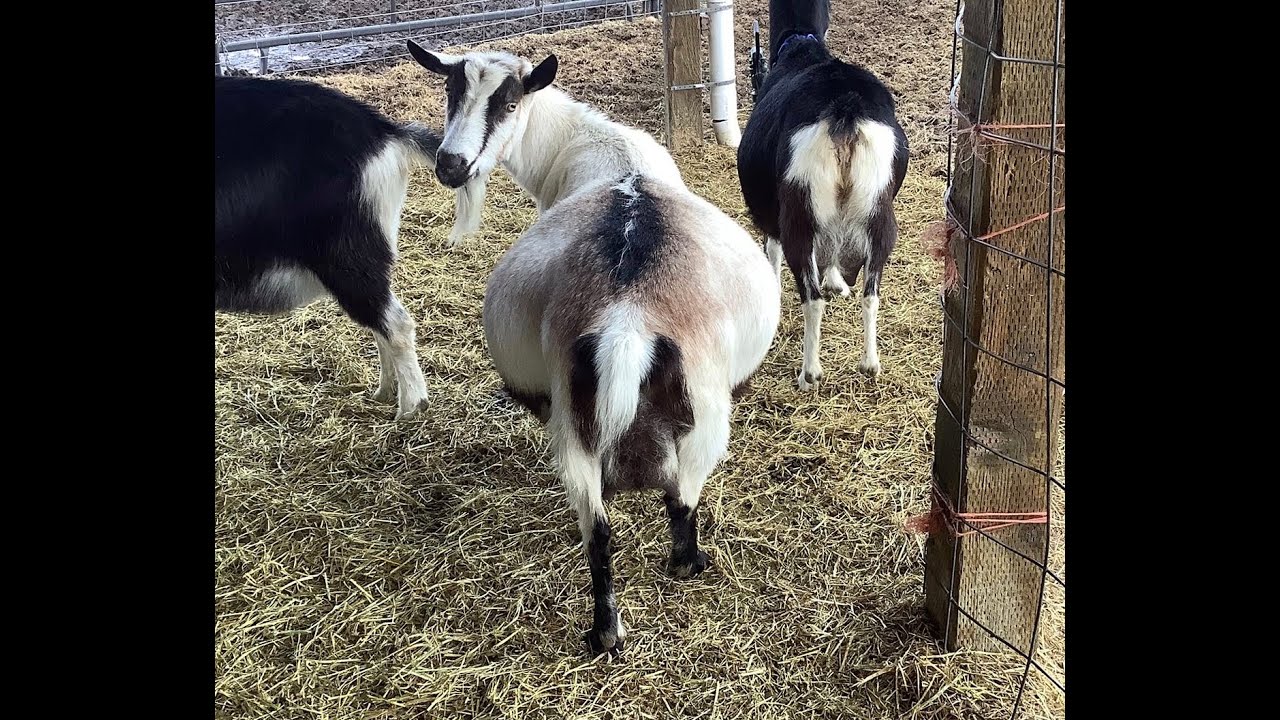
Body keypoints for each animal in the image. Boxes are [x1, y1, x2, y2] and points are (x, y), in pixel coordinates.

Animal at [406, 42, 781, 656]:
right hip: (690, 425)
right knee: (663, 514)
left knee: (608, 526)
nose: (451, 165)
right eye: (449, 90)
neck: (590, 142)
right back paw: (638, 606)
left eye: (508, 102)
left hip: (582, 427)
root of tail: (626, 322)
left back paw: (608, 628)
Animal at [738, 0, 908, 388]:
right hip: (880, 210)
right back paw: (870, 364)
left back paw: (809, 373)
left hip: (799, 210)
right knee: (872, 291)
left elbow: (773, 254)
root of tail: (844, 108)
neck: (800, 46)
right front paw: (836, 282)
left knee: (812, 298)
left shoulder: (773, 217)